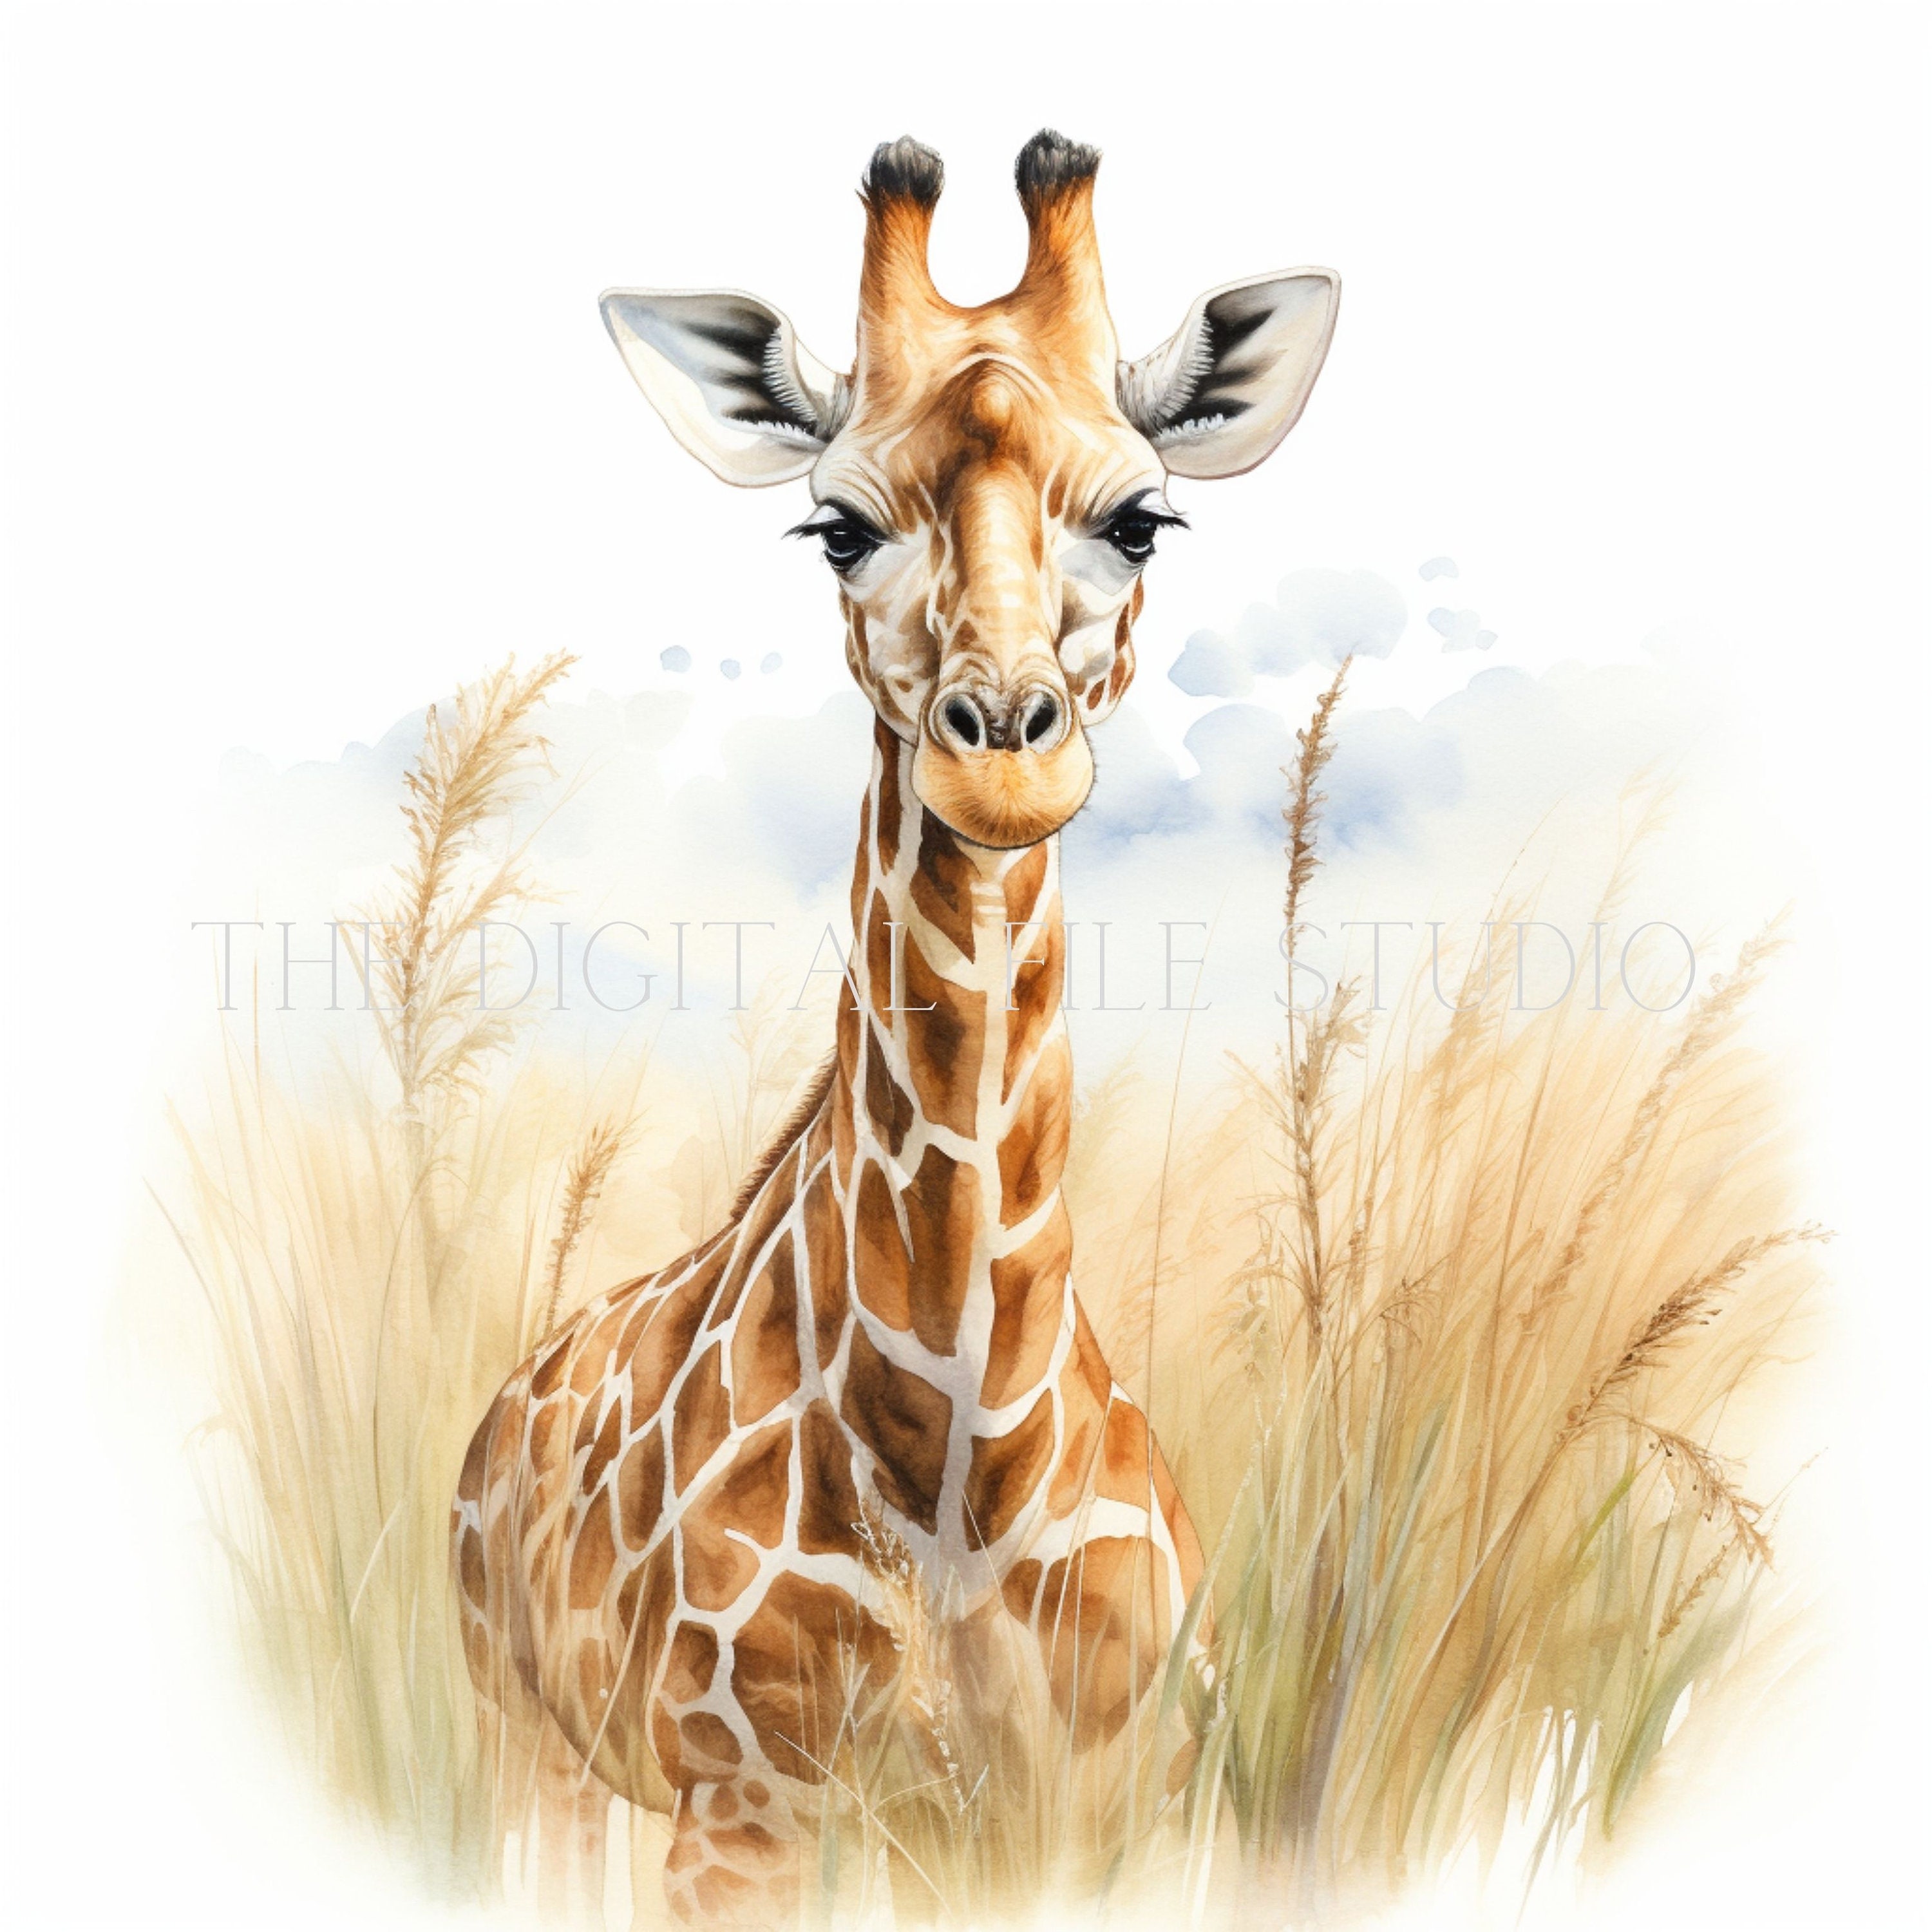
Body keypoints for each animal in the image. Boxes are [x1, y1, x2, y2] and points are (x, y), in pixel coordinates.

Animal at [453, 130, 1339, 1927]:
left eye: (1142, 517)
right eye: (834, 527)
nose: (1002, 748)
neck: (958, 1454)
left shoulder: (1109, 1800)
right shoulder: (742, 1805)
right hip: (532, 1755)